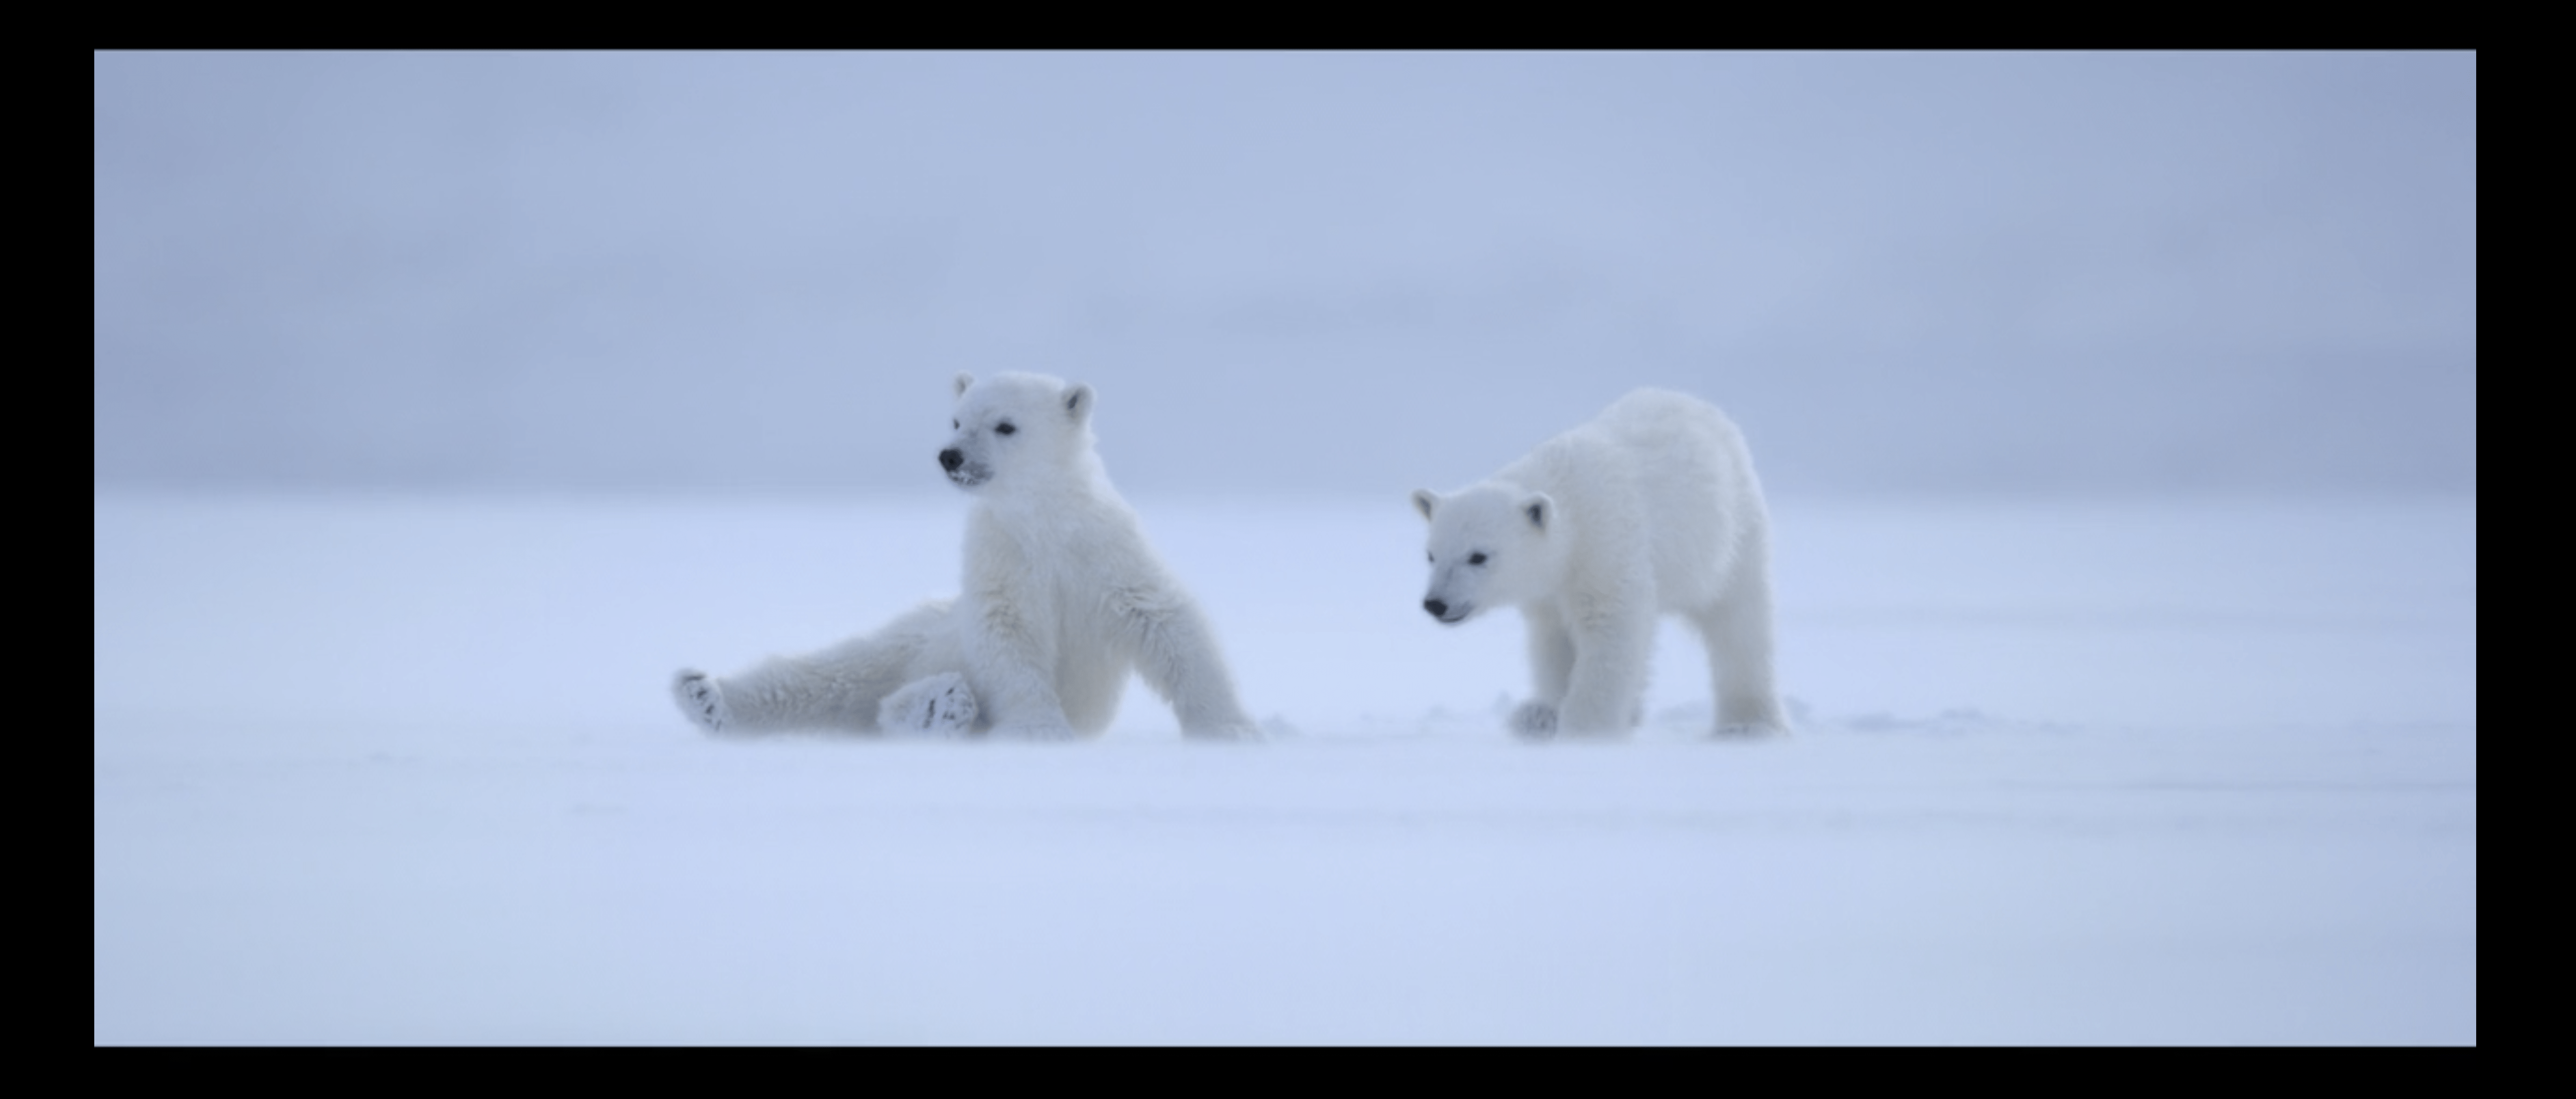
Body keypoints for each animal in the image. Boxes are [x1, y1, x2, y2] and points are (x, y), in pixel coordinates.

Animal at [671, 371, 1261, 741]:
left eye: (1005, 424)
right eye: (956, 419)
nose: (949, 456)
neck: (1043, 522)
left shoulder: (1107, 552)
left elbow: (1167, 622)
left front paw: (1234, 728)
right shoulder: (1002, 559)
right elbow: (1007, 637)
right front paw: (1037, 729)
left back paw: (937, 707)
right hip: (912, 638)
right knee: (823, 676)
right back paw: (706, 697)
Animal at [1410, 388, 1787, 739]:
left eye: (1478, 556)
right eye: (1431, 554)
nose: (1436, 603)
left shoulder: (1606, 549)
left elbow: (1612, 632)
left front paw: (1584, 732)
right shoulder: (1548, 593)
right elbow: (1553, 642)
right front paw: (1543, 717)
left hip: (1730, 537)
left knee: (1740, 623)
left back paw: (1749, 724)